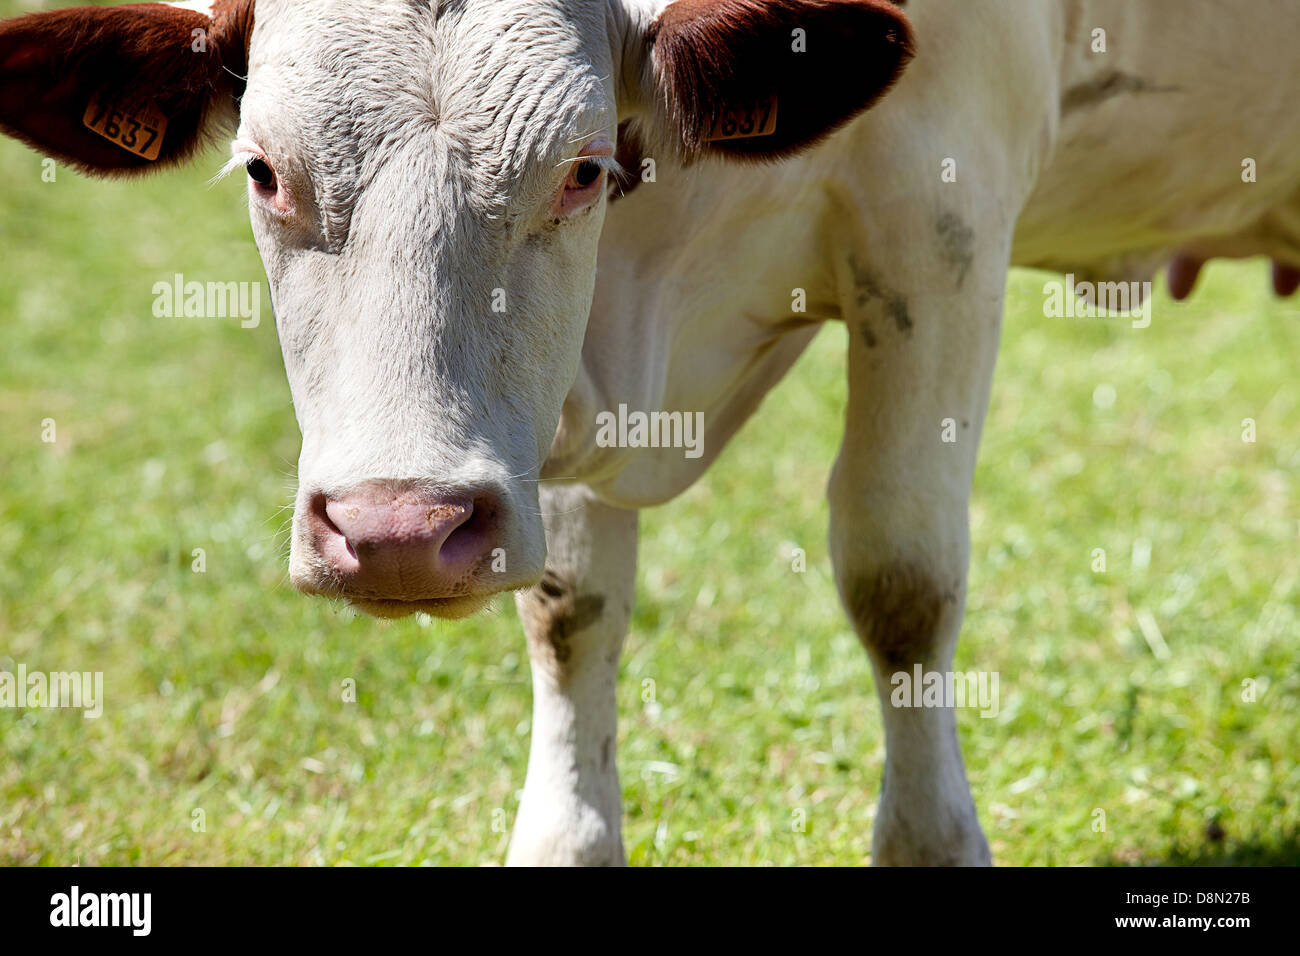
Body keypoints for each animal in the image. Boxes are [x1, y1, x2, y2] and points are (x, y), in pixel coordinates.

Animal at [0, 0, 1294, 866]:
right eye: (264, 171)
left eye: (582, 170)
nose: (398, 530)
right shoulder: (552, 409)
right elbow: (571, 605)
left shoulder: (940, 220)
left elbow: (902, 573)